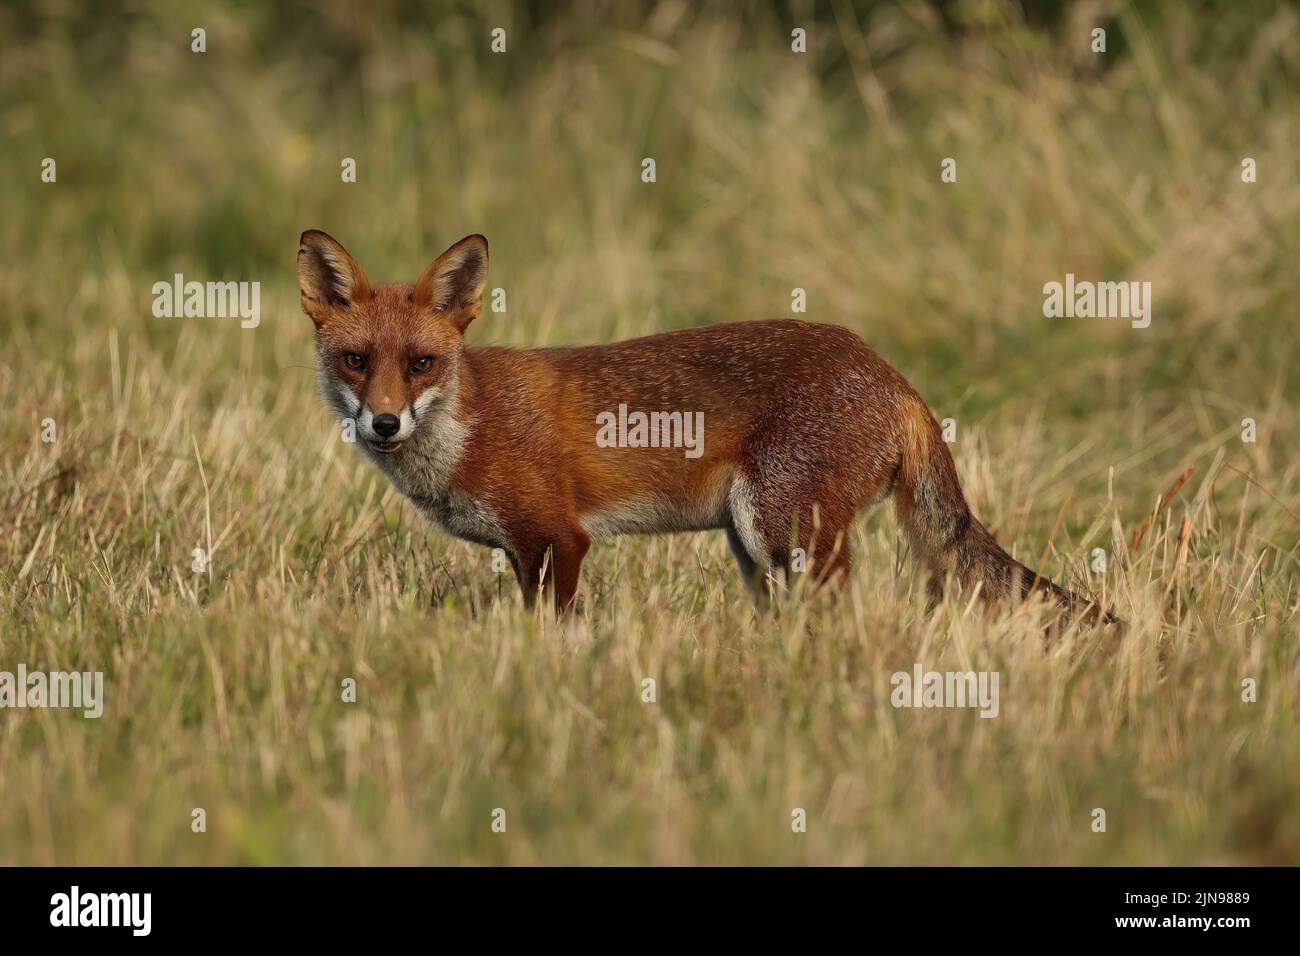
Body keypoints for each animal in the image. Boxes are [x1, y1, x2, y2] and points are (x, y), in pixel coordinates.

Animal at [300, 229, 1113, 622]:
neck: (467, 426)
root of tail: (890, 371)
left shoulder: (557, 538)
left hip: (780, 528)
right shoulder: (526, 549)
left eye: (423, 364)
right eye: (355, 361)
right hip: (754, 548)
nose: (384, 423)